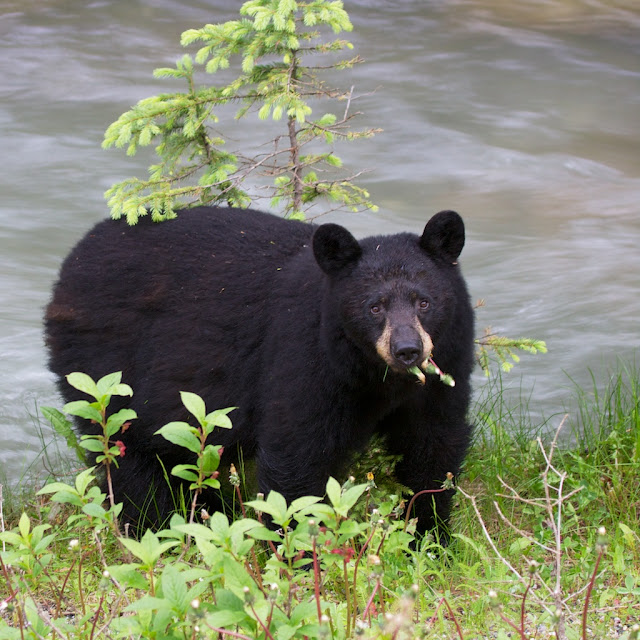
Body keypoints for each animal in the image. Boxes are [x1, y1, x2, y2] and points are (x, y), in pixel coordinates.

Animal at [45, 206, 474, 537]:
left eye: (424, 302)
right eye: (375, 306)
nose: (408, 350)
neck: (375, 376)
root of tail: (70, 264)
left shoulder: (446, 366)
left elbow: (433, 446)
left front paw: (431, 537)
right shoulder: (304, 357)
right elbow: (297, 455)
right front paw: (295, 552)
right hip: (106, 372)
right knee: (127, 457)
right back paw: (153, 526)